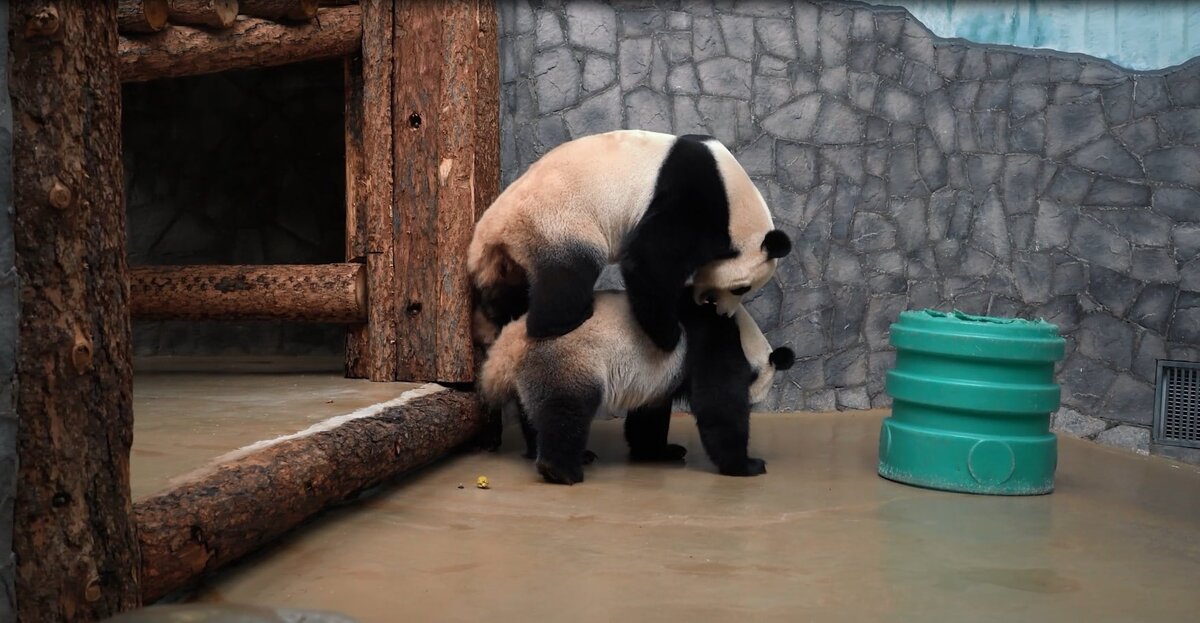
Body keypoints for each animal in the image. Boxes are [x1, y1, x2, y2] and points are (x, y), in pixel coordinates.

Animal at [470, 129, 796, 352]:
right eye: (741, 288)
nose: (721, 312)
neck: (737, 206)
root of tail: (493, 227)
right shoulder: (697, 199)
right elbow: (649, 260)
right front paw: (670, 335)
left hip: (519, 246)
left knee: (509, 286)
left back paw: (494, 320)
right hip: (557, 221)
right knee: (569, 273)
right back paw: (568, 318)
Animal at [477, 285, 796, 484]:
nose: (753, 404)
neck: (741, 329)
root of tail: (510, 344)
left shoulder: (659, 376)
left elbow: (650, 414)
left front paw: (660, 451)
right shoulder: (713, 342)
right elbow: (719, 405)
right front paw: (748, 465)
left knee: (533, 414)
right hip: (570, 358)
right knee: (566, 410)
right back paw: (562, 470)